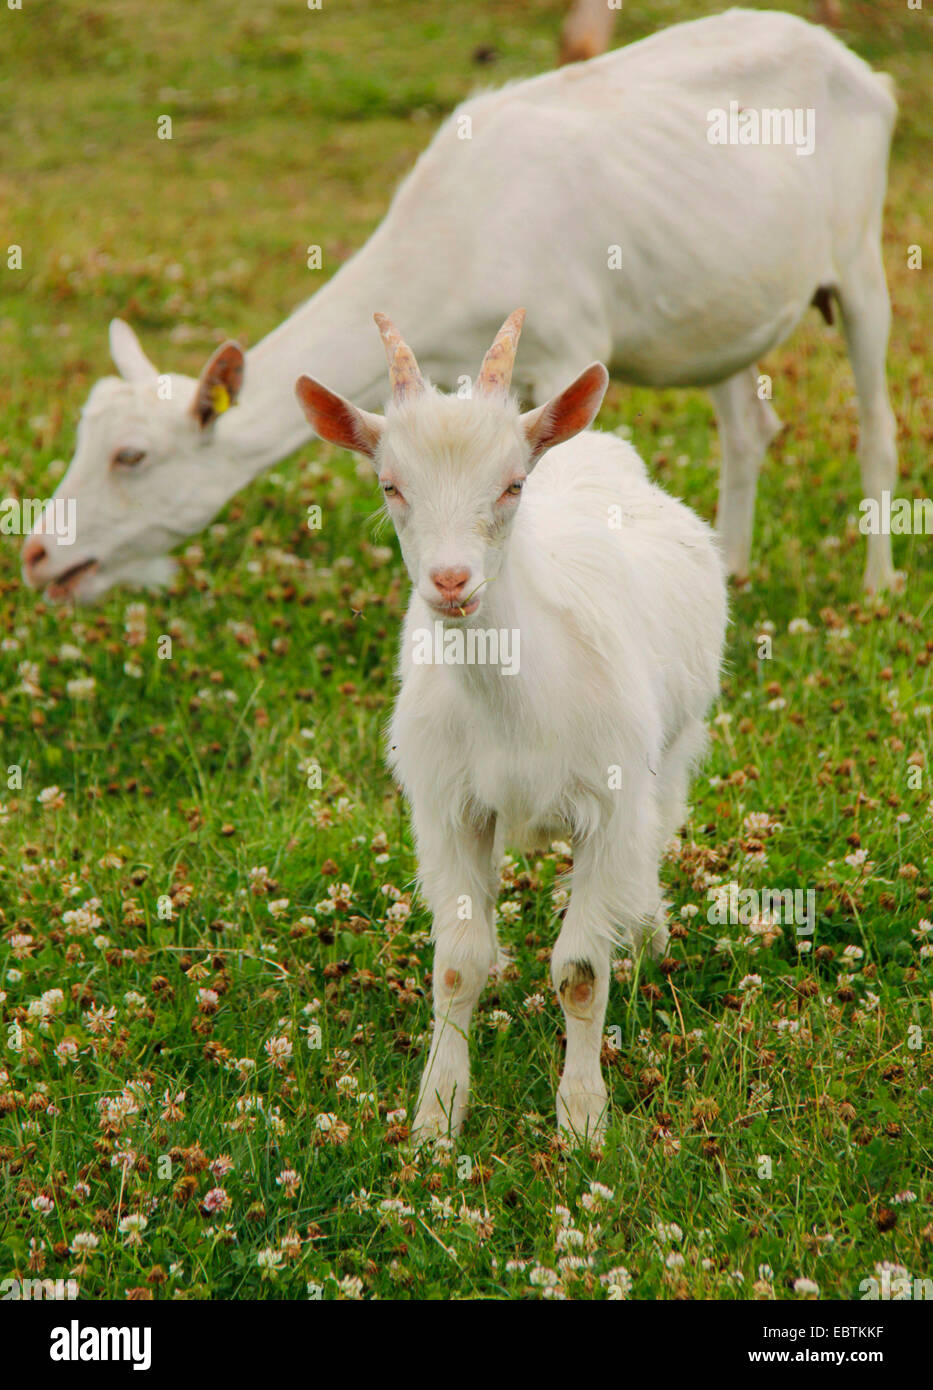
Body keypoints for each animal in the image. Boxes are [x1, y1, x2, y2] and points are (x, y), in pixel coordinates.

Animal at [23, 8, 897, 601]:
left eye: (132, 456)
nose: (35, 556)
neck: (454, 242)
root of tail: (863, 72)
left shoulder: (570, 341)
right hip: (716, 310)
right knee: (748, 429)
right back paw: (729, 567)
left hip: (859, 257)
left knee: (875, 427)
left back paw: (875, 585)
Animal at [294, 311, 728, 1144]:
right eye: (390, 484)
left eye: (511, 484)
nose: (450, 581)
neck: (516, 703)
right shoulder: (449, 807)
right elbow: (458, 963)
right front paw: (436, 1116)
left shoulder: (607, 802)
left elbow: (581, 973)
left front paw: (583, 1118)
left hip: (675, 746)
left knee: (657, 833)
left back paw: (648, 933)